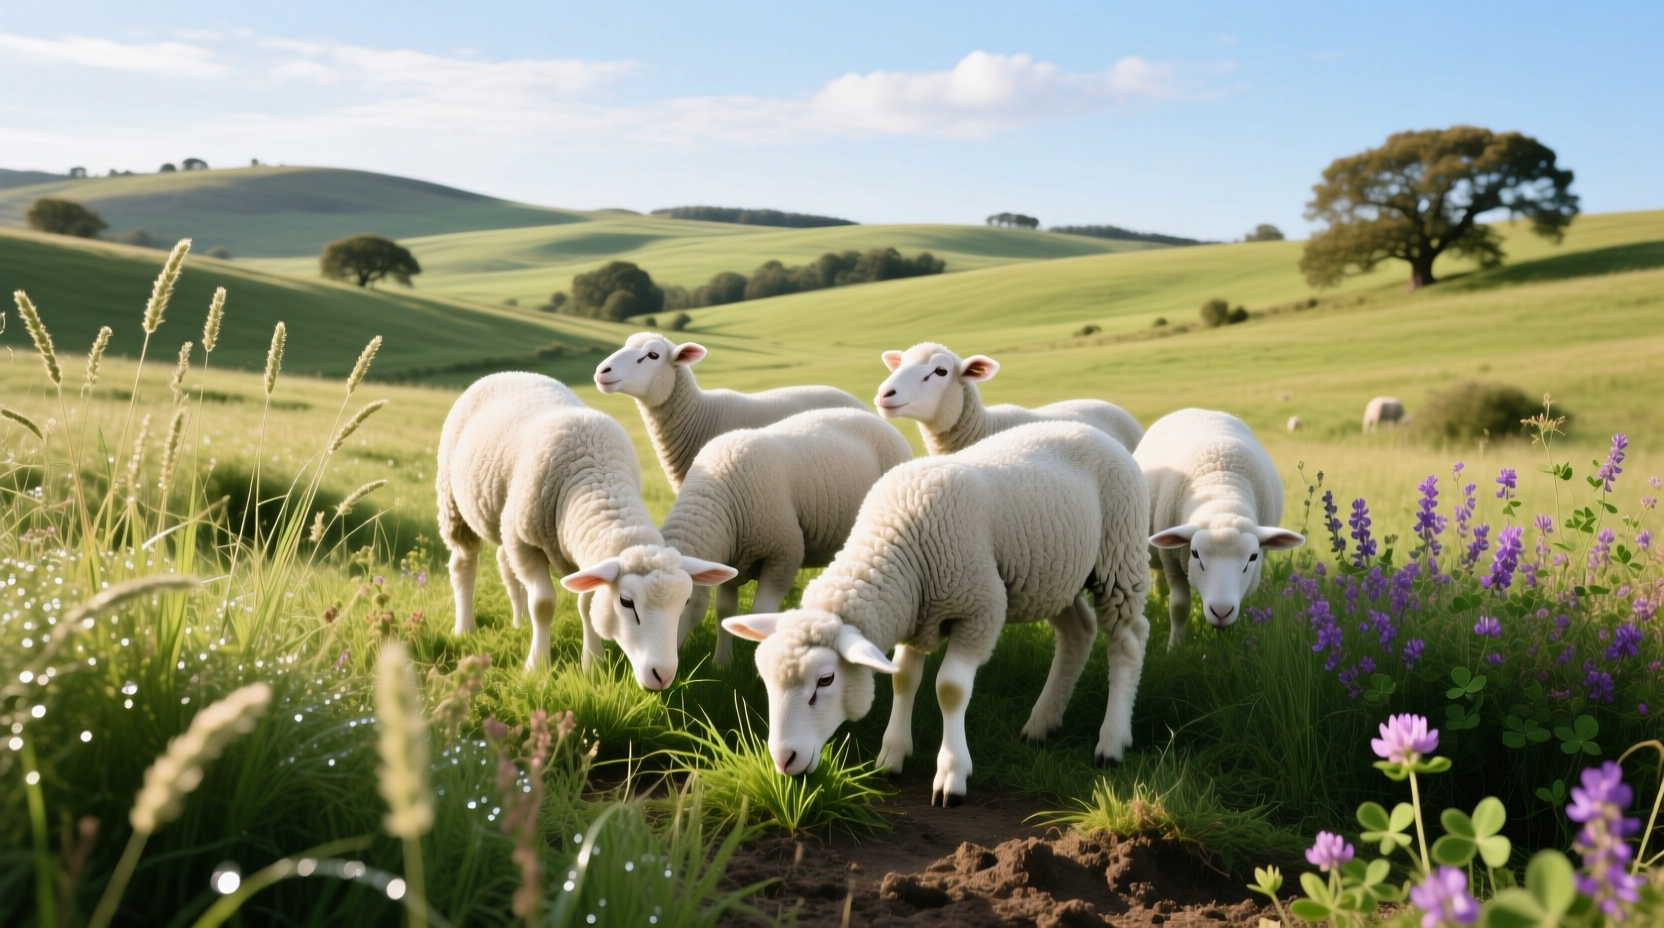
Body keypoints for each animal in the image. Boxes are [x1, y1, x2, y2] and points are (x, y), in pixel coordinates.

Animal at [436, 372, 736, 686]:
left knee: (504, 563)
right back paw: (465, 626)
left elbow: (588, 605)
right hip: (454, 504)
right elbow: (543, 604)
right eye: (626, 602)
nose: (663, 675)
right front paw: (537, 666)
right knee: (464, 564)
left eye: (685, 601)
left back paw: (519, 621)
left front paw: (594, 664)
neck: (598, 478)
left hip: (501, 518)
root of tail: (509, 373)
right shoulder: (524, 542)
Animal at [661, 408, 913, 669]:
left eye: (686, 601)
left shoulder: (784, 554)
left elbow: (759, 612)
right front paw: (723, 663)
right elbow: (724, 611)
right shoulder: (731, 561)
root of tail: (876, 418)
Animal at [723, 421, 1150, 808]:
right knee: (1078, 632)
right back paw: (1042, 723)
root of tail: (1092, 430)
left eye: (825, 680)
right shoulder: (916, 613)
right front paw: (891, 756)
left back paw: (1112, 742)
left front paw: (951, 776)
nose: (784, 760)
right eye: (765, 678)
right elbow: (903, 680)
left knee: (1127, 640)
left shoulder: (979, 608)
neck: (895, 544)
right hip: (1052, 578)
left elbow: (950, 689)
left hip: (1120, 556)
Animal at [1137, 408, 1305, 649]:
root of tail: (1202, 410)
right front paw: (1175, 648)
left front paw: (1226, 643)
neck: (1222, 493)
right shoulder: (1173, 563)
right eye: (1195, 553)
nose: (1221, 611)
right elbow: (1179, 607)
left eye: (1253, 557)